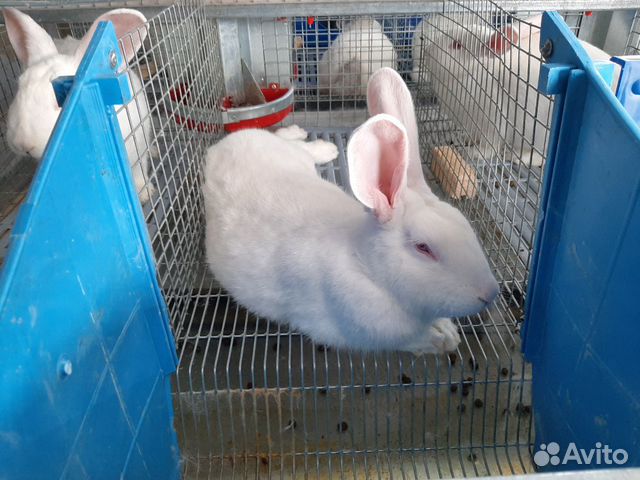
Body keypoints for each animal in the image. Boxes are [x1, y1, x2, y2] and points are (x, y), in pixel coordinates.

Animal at [203, 79, 499, 354]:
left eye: (467, 228)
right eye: (424, 248)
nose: (489, 294)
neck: (365, 266)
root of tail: (215, 151)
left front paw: (446, 330)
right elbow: (415, 340)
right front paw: (444, 338)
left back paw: (311, 140)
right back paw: (322, 145)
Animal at [423, 14, 619, 168]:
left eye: (456, 45)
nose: (428, 52)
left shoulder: (493, 122)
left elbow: (489, 146)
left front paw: (473, 153)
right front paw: (466, 141)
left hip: (542, 136)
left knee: (542, 158)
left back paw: (517, 157)